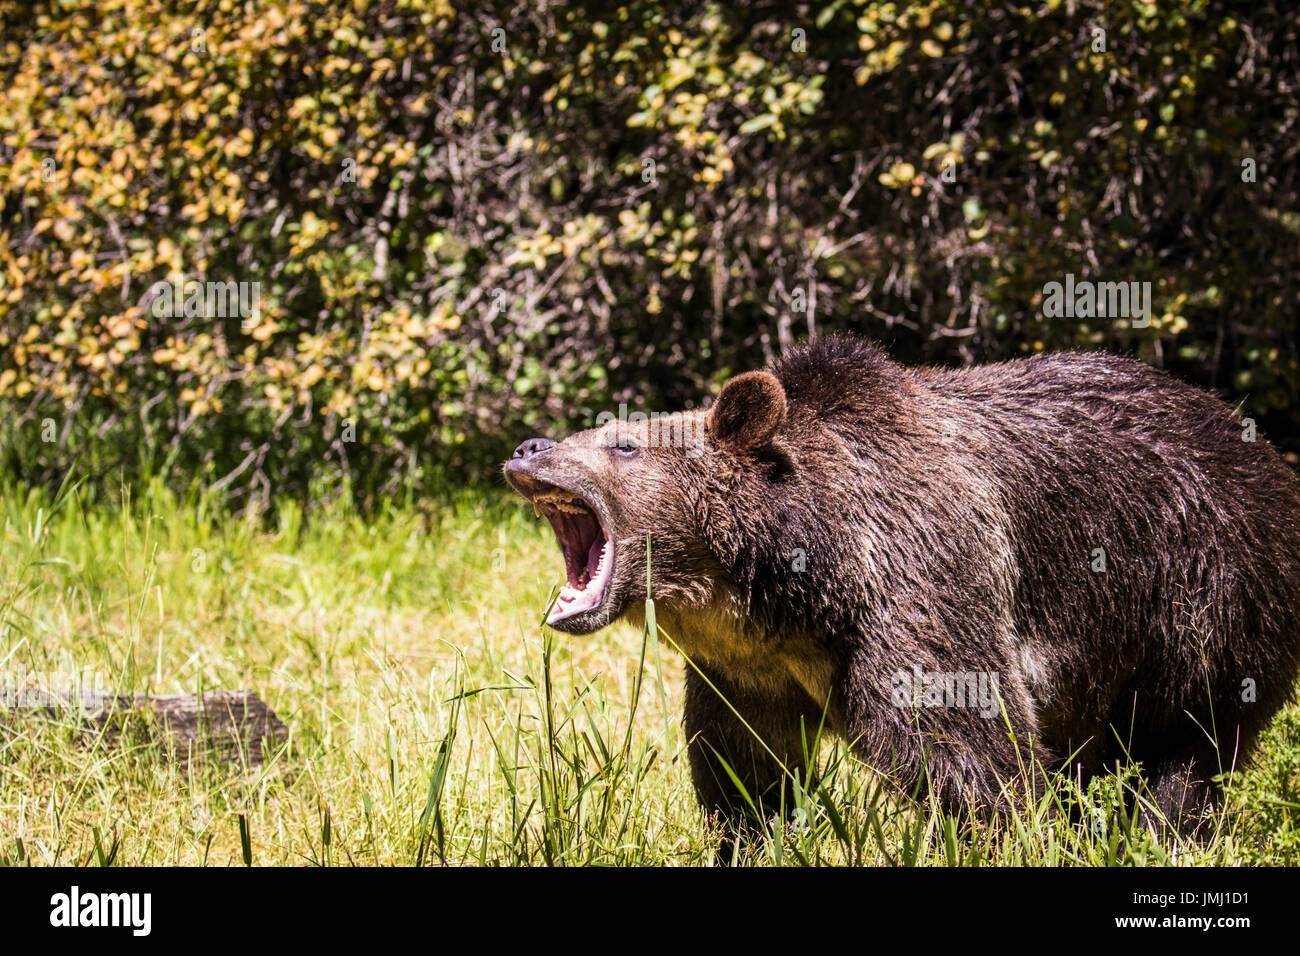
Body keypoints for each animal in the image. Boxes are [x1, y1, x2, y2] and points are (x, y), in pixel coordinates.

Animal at [503, 335, 1300, 836]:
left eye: (622, 443)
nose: (529, 447)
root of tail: (1257, 443)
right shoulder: (747, 670)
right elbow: (743, 765)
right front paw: (751, 830)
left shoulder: (922, 586)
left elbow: (970, 750)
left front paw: (1009, 832)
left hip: (1203, 601)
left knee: (1190, 747)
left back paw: (1161, 829)